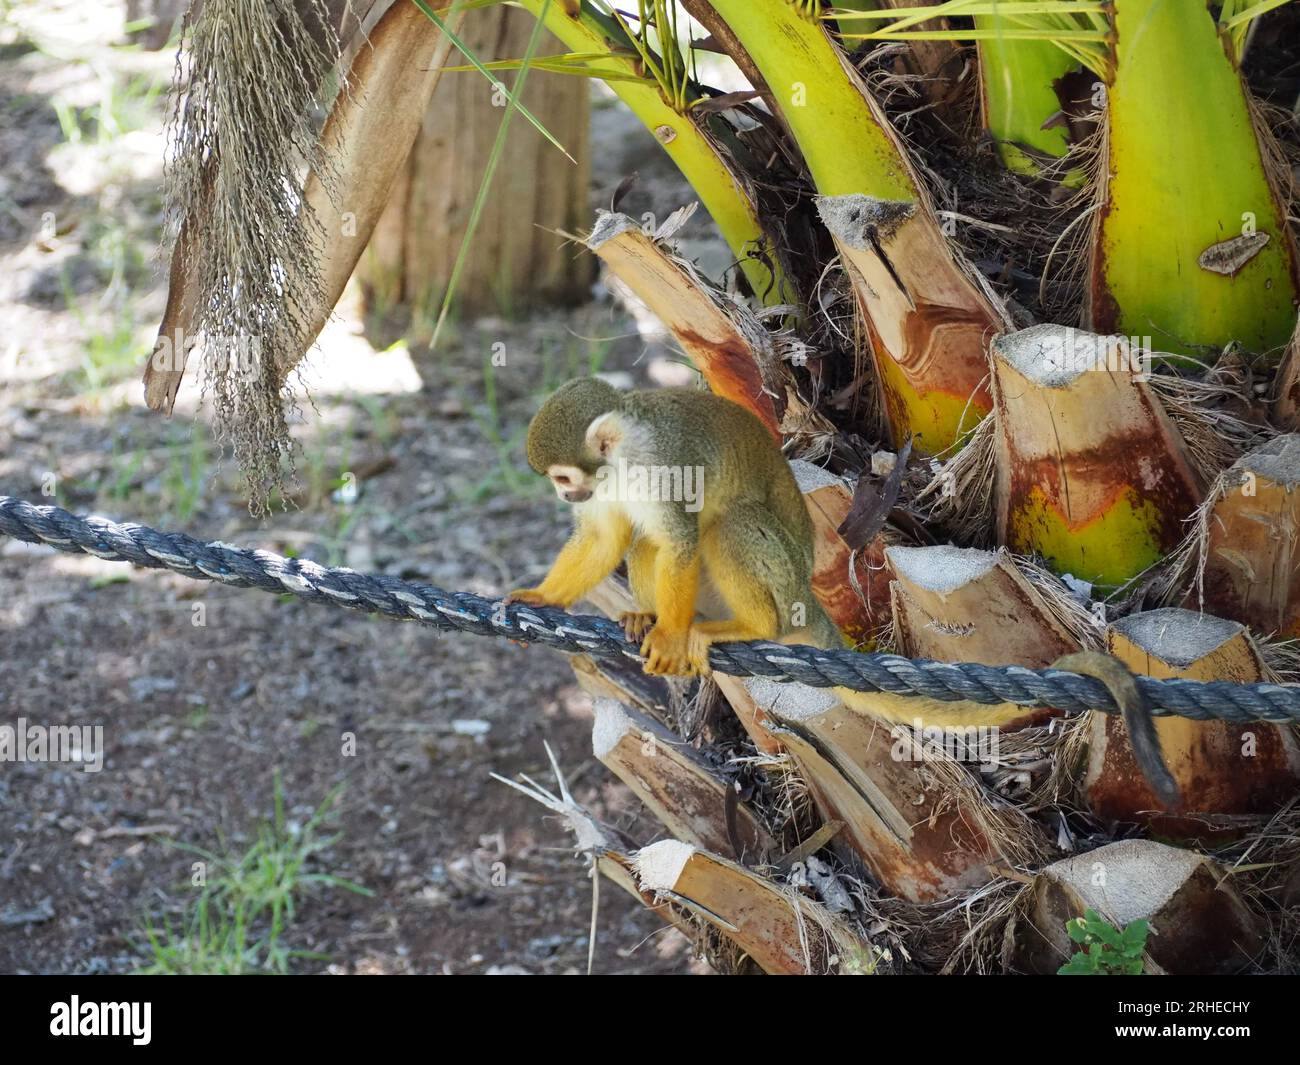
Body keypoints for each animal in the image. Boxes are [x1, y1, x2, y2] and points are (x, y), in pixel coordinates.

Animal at [506, 376, 841, 676]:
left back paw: (755, 625)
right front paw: (543, 597)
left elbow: (679, 542)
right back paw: (647, 616)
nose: (563, 495)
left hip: (787, 588)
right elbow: (604, 537)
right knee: (645, 541)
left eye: (562, 477)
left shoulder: (667, 469)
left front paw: (669, 638)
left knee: (731, 523)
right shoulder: (597, 488)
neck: (621, 463)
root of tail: (809, 600)